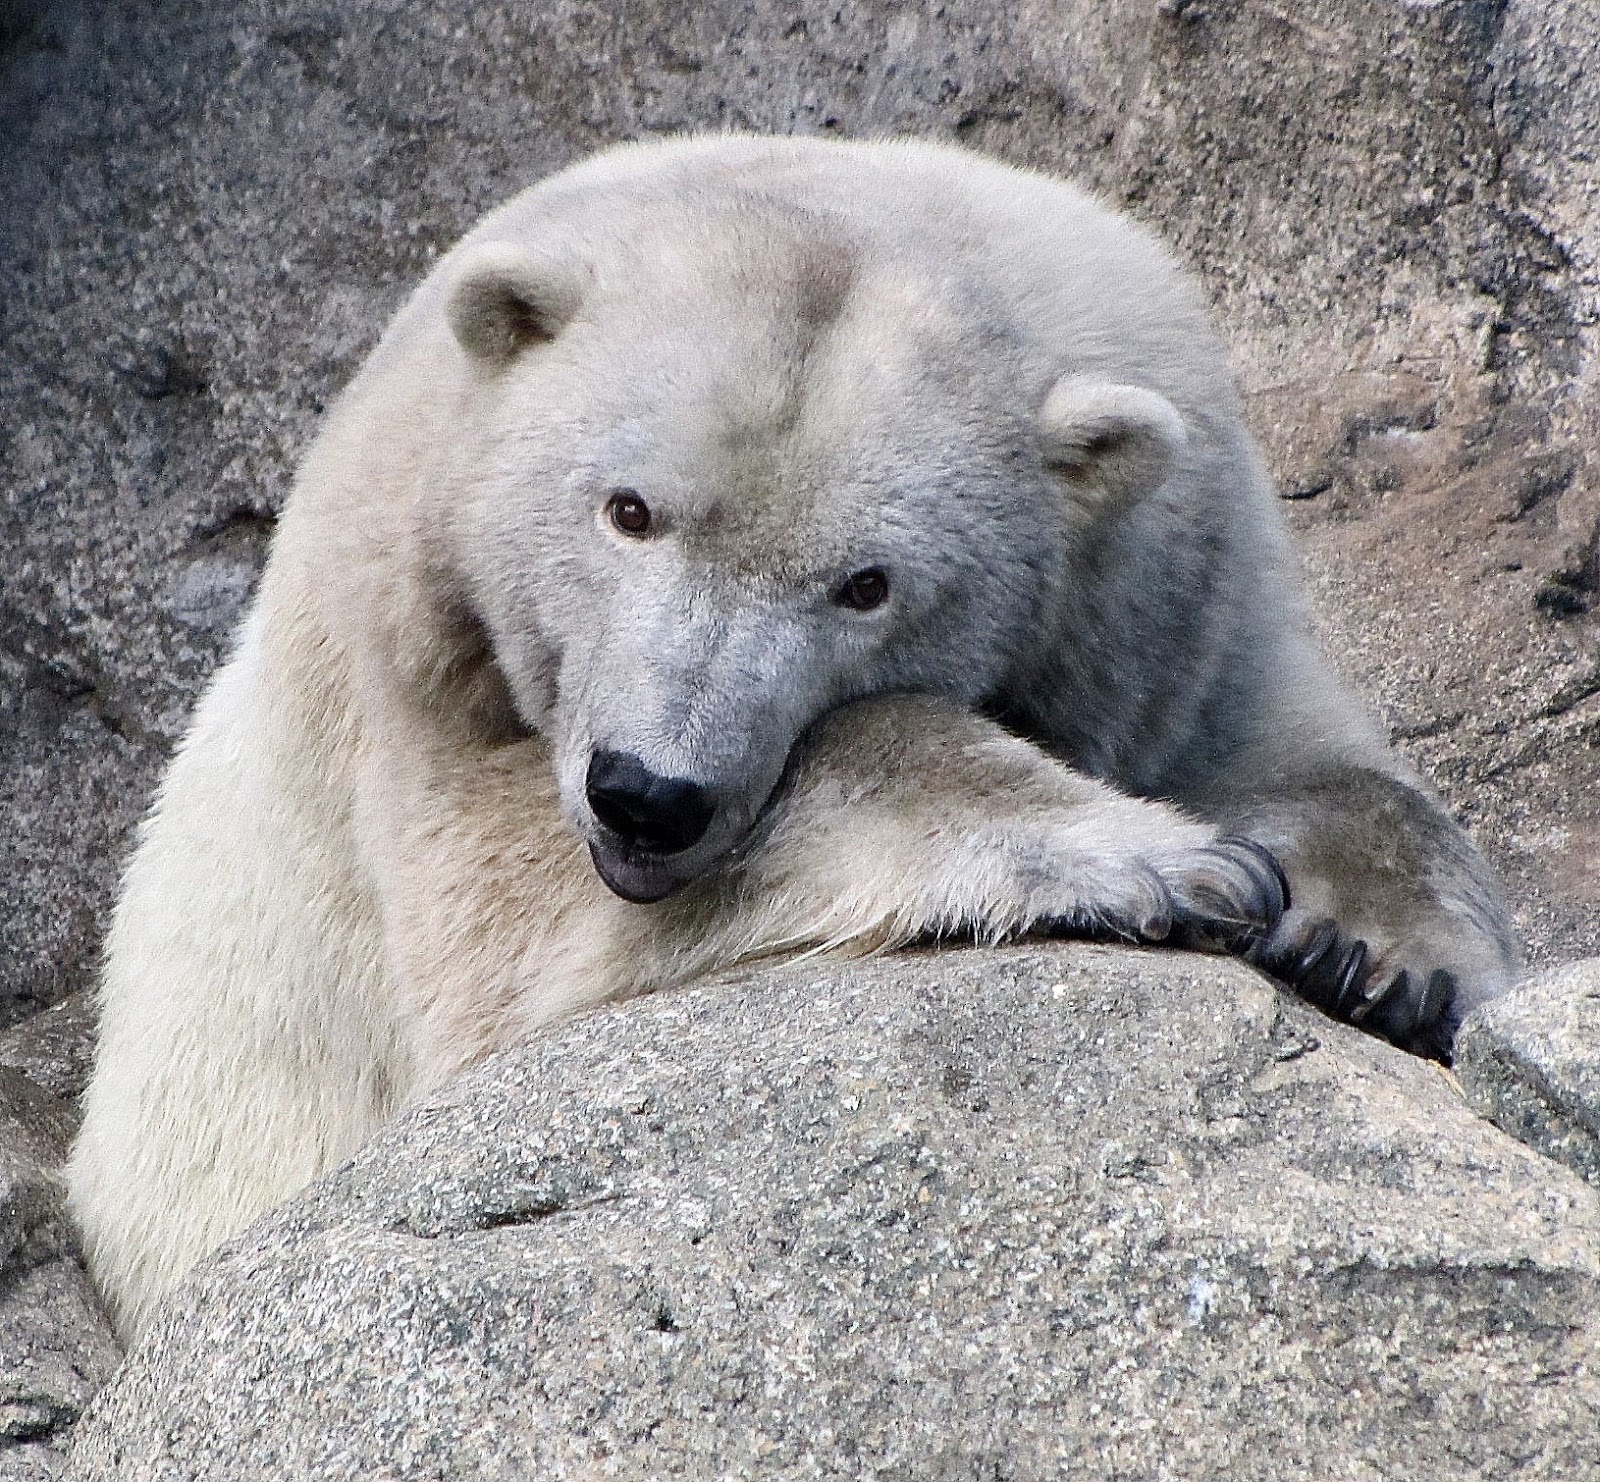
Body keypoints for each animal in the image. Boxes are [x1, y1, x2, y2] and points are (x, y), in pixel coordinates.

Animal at [66, 133, 1519, 1342]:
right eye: (629, 509)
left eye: (866, 585)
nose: (650, 796)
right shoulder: (407, 670)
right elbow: (500, 936)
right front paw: (1158, 861)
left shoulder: (1169, 586)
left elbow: (1309, 756)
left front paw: (1375, 951)